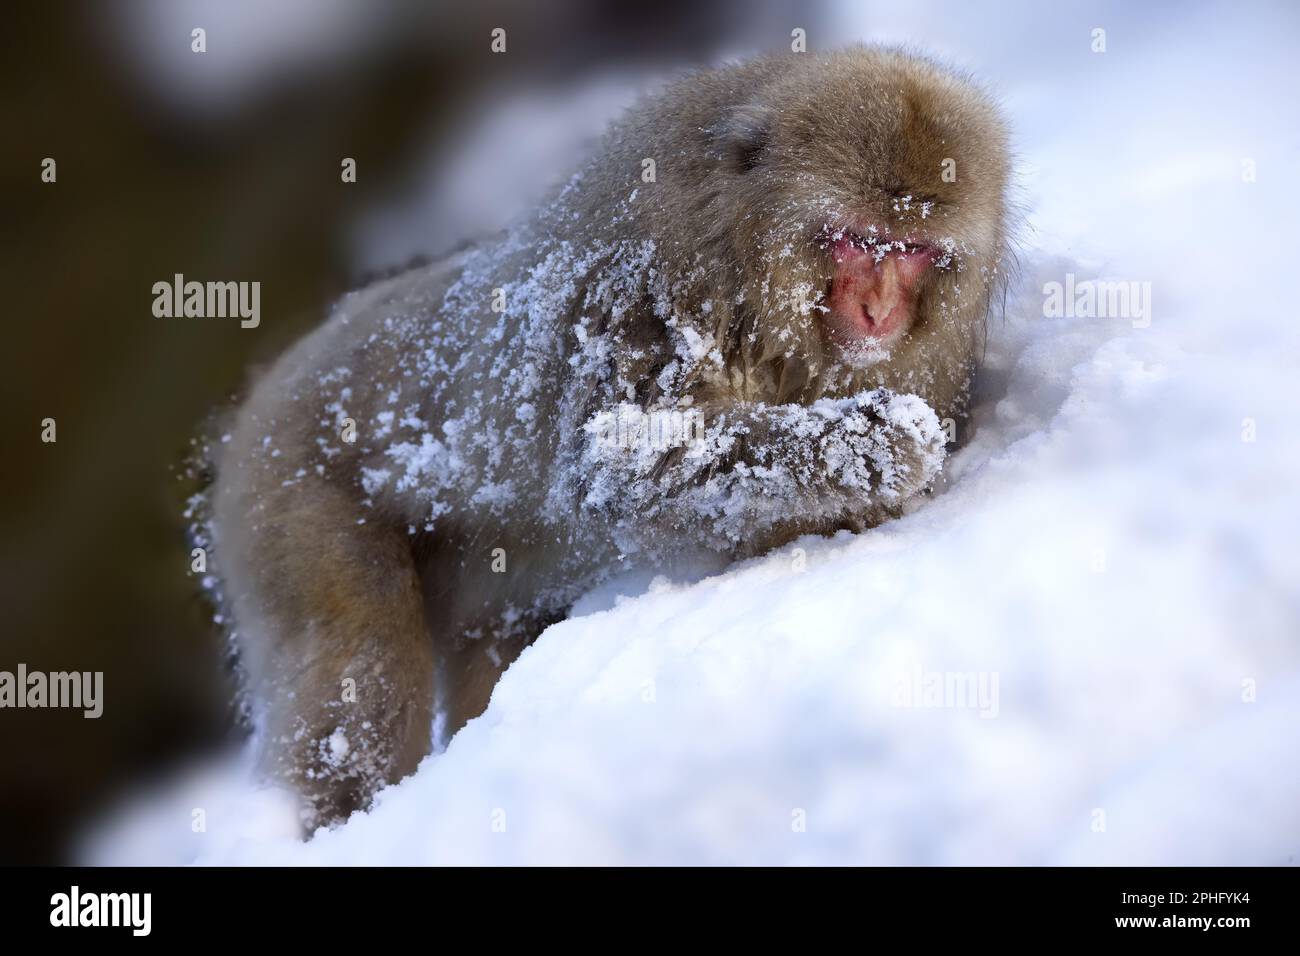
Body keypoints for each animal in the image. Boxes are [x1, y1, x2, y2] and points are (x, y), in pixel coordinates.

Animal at [207, 46, 1013, 831]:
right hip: (287, 491)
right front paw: (879, 443)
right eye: (858, 241)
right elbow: (622, 467)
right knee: (359, 664)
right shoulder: (644, 284)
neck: (748, 256)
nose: (879, 311)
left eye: (914, 250)